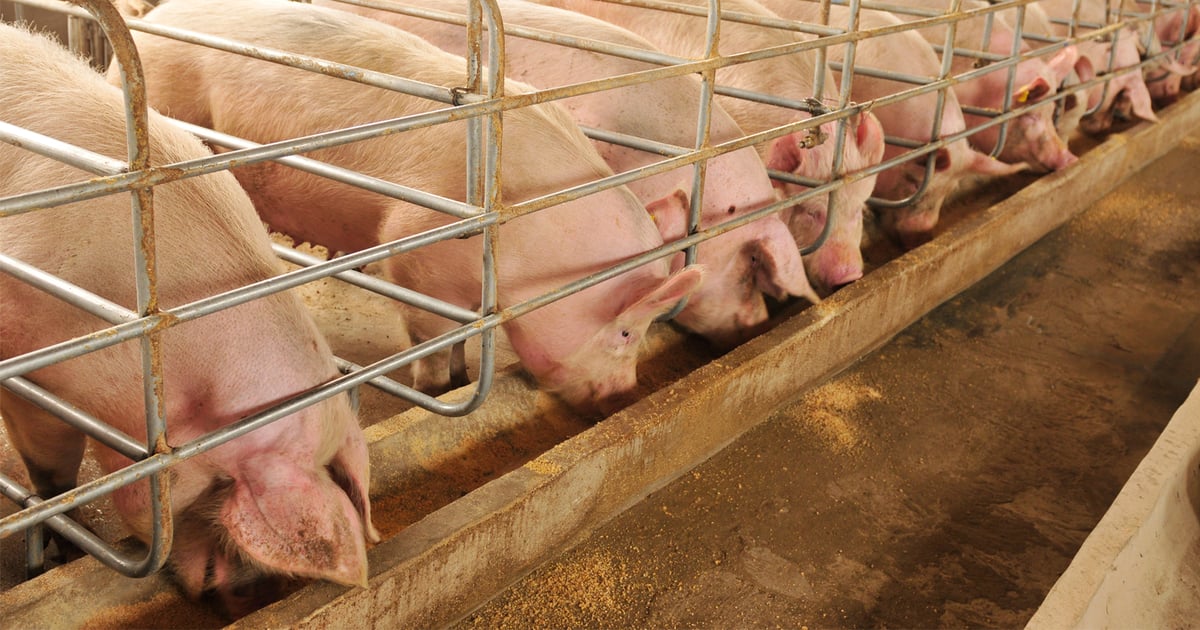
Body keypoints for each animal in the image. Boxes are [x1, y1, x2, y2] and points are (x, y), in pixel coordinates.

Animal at [125, 0, 705, 415]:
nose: (624, 395)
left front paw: (464, 378)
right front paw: (440, 389)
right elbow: (433, 338)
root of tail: (153, 20)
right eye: (626, 331)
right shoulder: (414, 250)